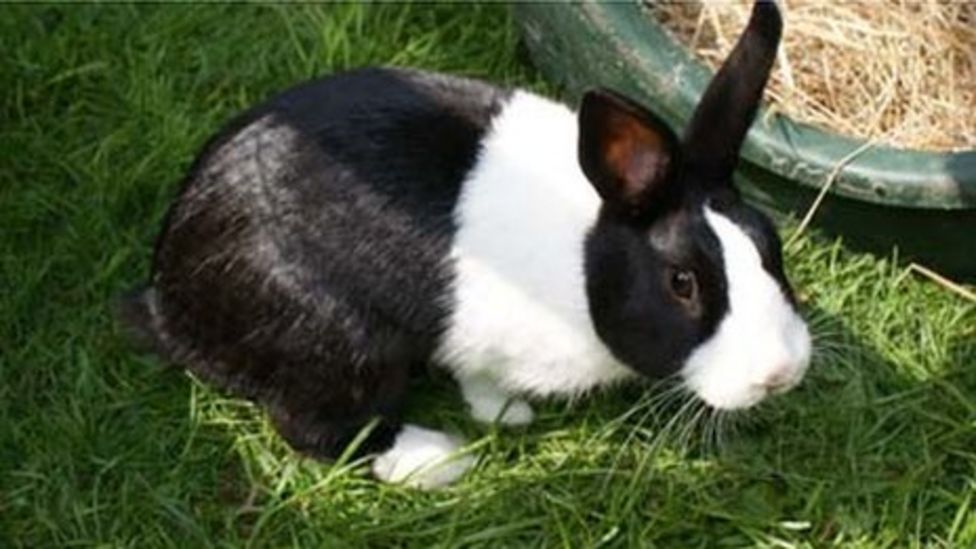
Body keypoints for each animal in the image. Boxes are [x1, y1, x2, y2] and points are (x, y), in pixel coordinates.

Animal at [123, 0, 810, 489]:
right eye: (682, 283)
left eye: (769, 245)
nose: (781, 374)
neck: (585, 260)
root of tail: (168, 300)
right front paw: (502, 418)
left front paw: (506, 412)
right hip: (337, 342)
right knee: (323, 430)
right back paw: (439, 460)